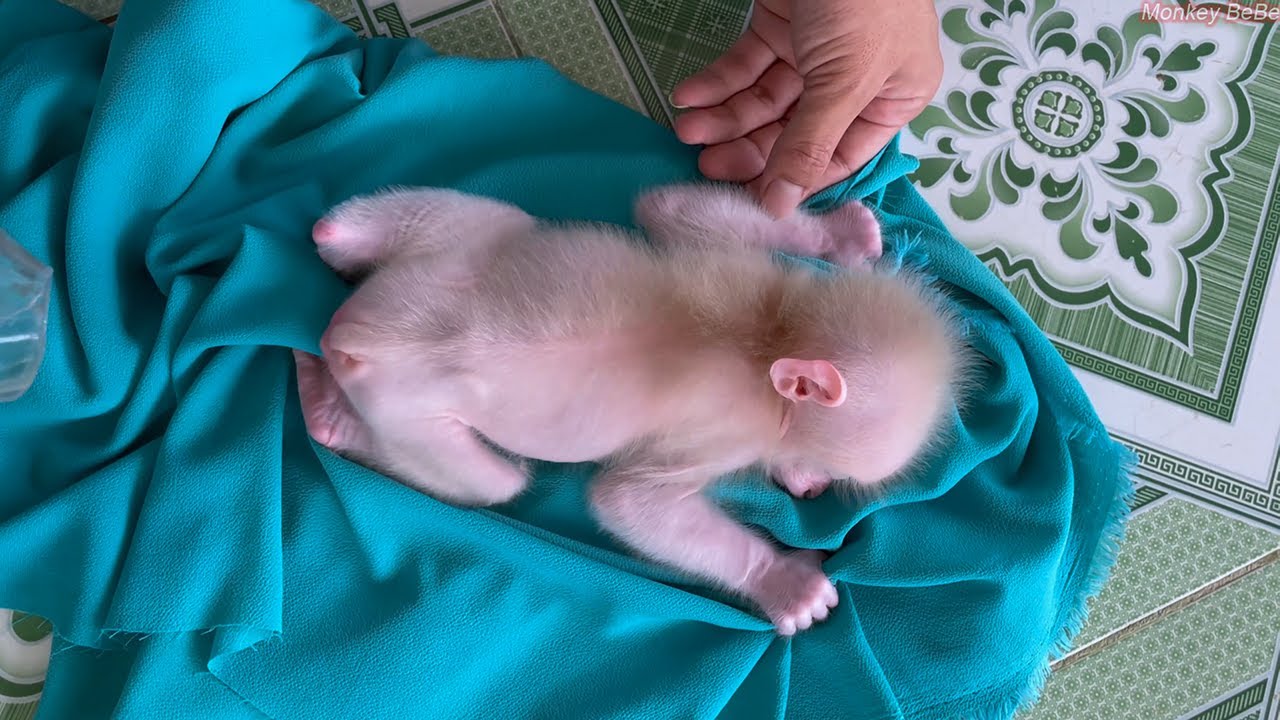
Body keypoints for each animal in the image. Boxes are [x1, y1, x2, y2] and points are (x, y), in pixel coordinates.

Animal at [293, 183, 971, 635]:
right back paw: (332, 414)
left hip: (452, 254)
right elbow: (628, 501)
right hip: (405, 410)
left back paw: (340, 240)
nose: (816, 481)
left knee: (474, 222)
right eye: (823, 461)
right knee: (492, 482)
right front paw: (787, 584)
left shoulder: (747, 272)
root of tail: (360, 334)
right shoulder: (731, 430)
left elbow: (670, 209)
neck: (770, 343)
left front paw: (838, 238)